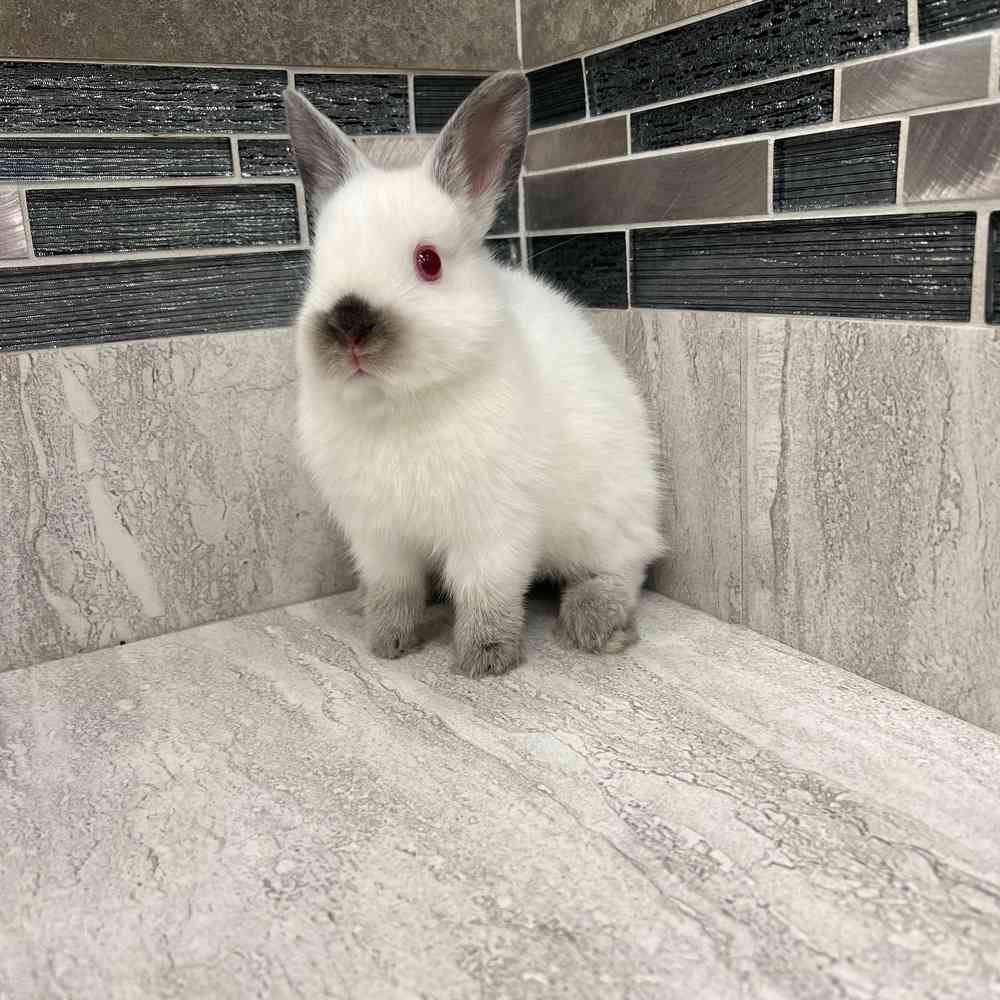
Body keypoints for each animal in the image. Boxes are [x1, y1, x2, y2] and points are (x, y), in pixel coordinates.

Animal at [284, 71, 665, 678]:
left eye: (429, 262)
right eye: (317, 265)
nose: (348, 325)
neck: (399, 405)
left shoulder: (493, 530)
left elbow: (488, 593)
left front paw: (485, 660)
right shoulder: (379, 539)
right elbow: (393, 591)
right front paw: (386, 642)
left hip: (610, 515)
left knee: (626, 567)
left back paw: (596, 623)